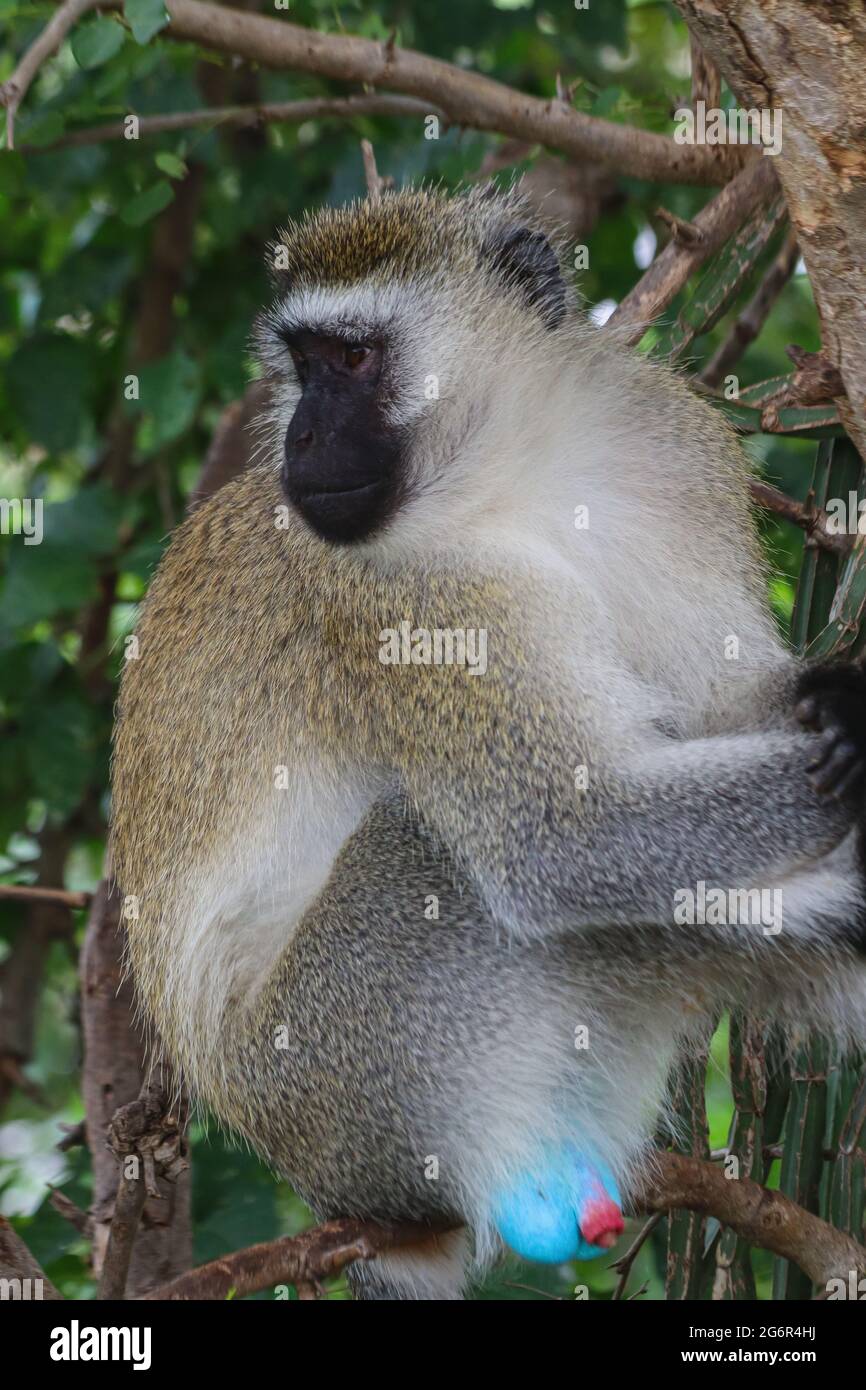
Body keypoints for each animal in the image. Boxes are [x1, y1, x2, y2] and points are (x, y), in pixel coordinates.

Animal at [110, 184, 866, 1300]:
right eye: (300, 363)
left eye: (350, 359)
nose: (301, 439)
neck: (515, 466)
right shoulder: (397, 593)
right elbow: (563, 832)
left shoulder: (667, 452)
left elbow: (725, 705)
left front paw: (832, 695)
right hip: (347, 1074)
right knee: (441, 851)